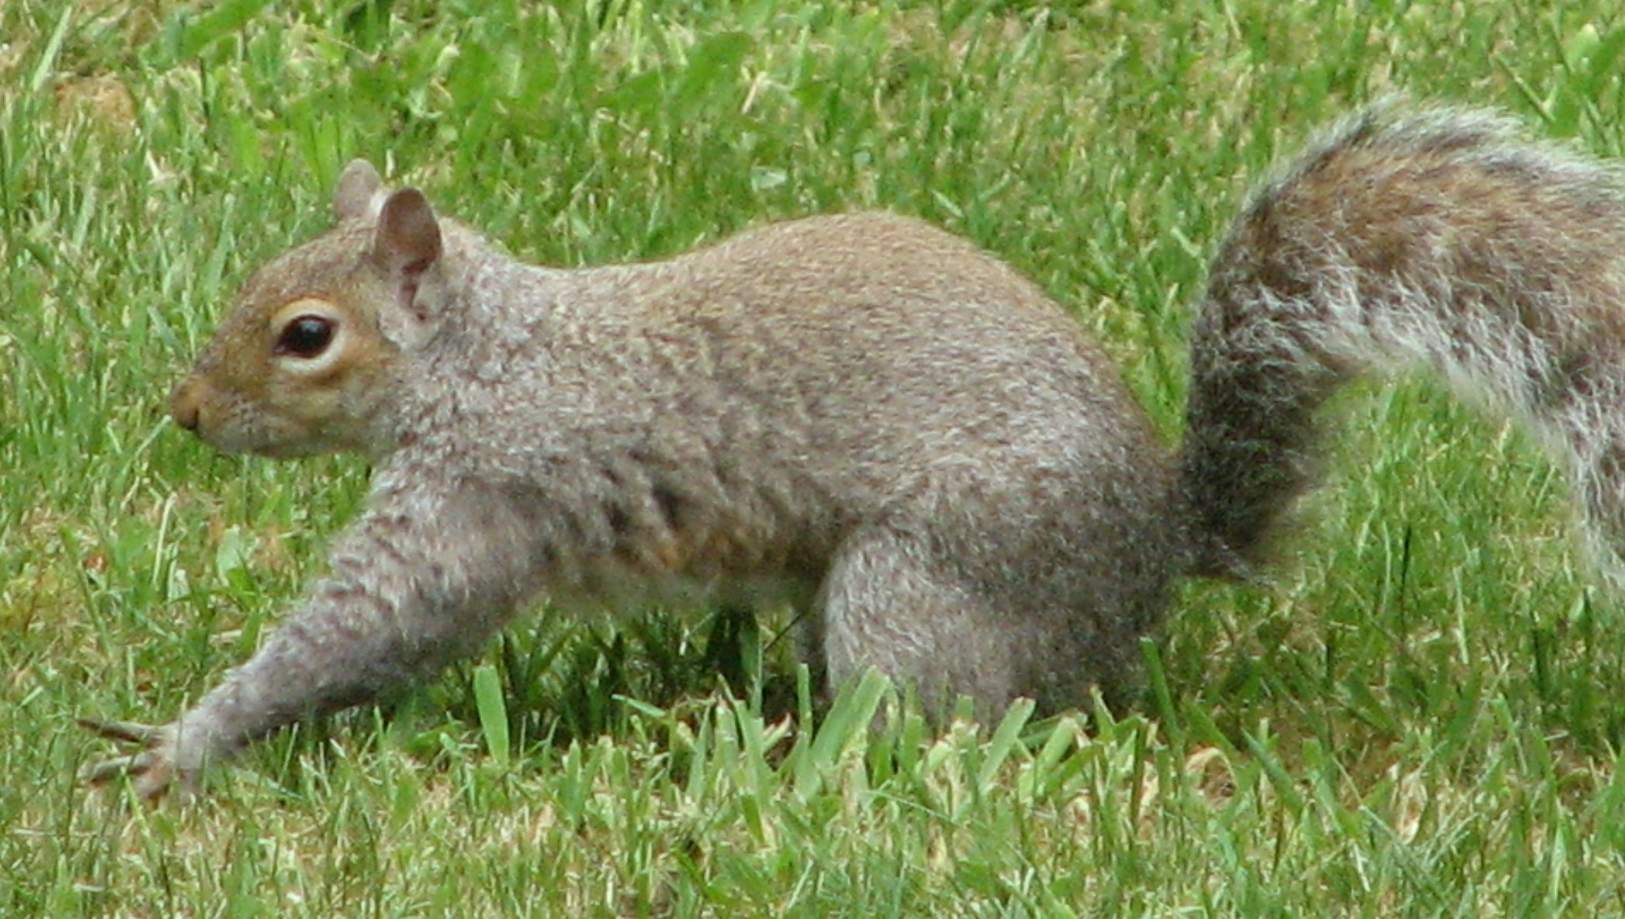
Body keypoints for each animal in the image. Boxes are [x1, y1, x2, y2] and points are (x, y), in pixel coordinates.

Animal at [82, 101, 1625, 800]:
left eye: (304, 335)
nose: (185, 410)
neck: (490, 349)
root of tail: (1154, 542)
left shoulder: (479, 488)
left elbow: (361, 629)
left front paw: (180, 745)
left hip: (924, 580)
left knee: (944, 720)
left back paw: (802, 761)